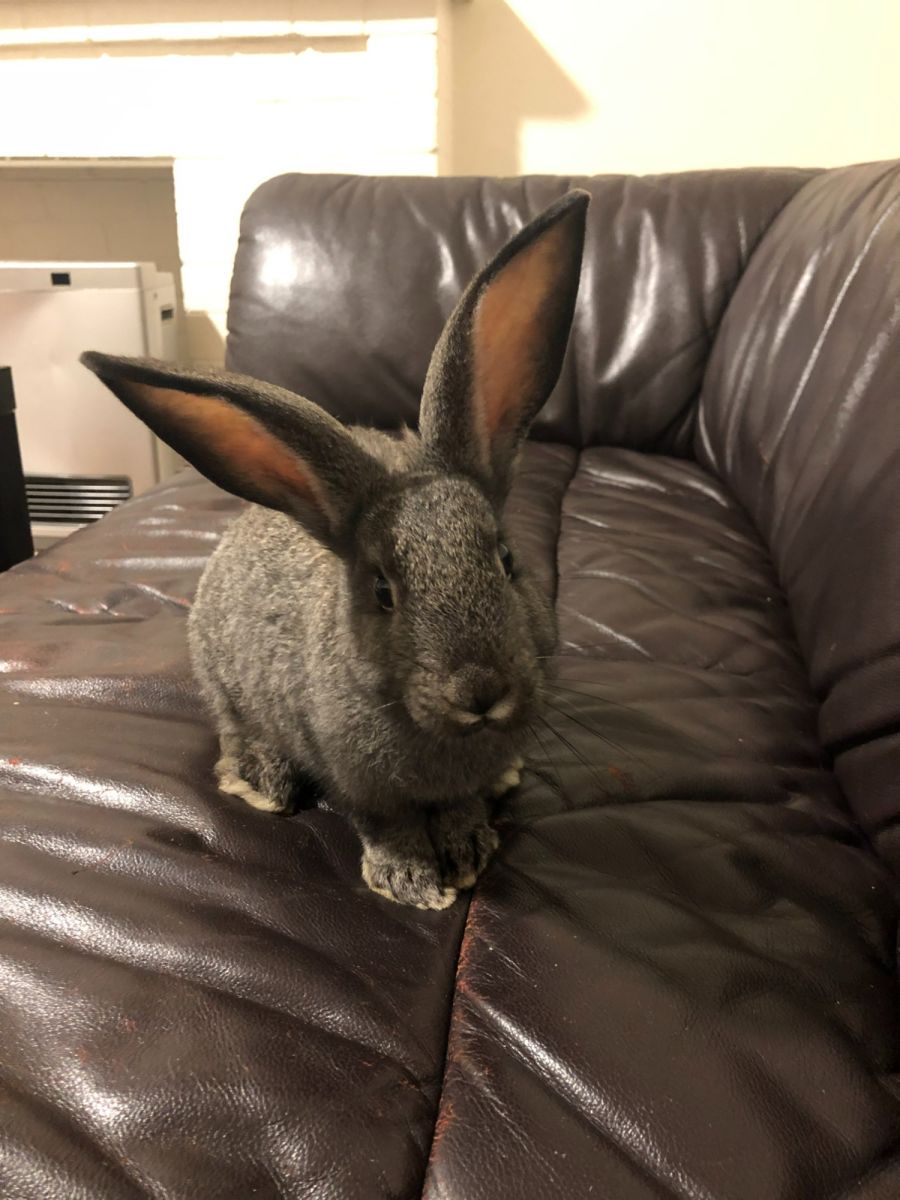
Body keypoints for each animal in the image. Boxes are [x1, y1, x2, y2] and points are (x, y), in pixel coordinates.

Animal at [81, 188, 589, 910]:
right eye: (382, 591)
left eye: (507, 560)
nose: (481, 690)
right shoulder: (359, 782)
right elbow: (387, 824)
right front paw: (412, 882)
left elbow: (461, 804)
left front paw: (467, 851)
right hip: (225, 689)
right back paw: (259, 784)